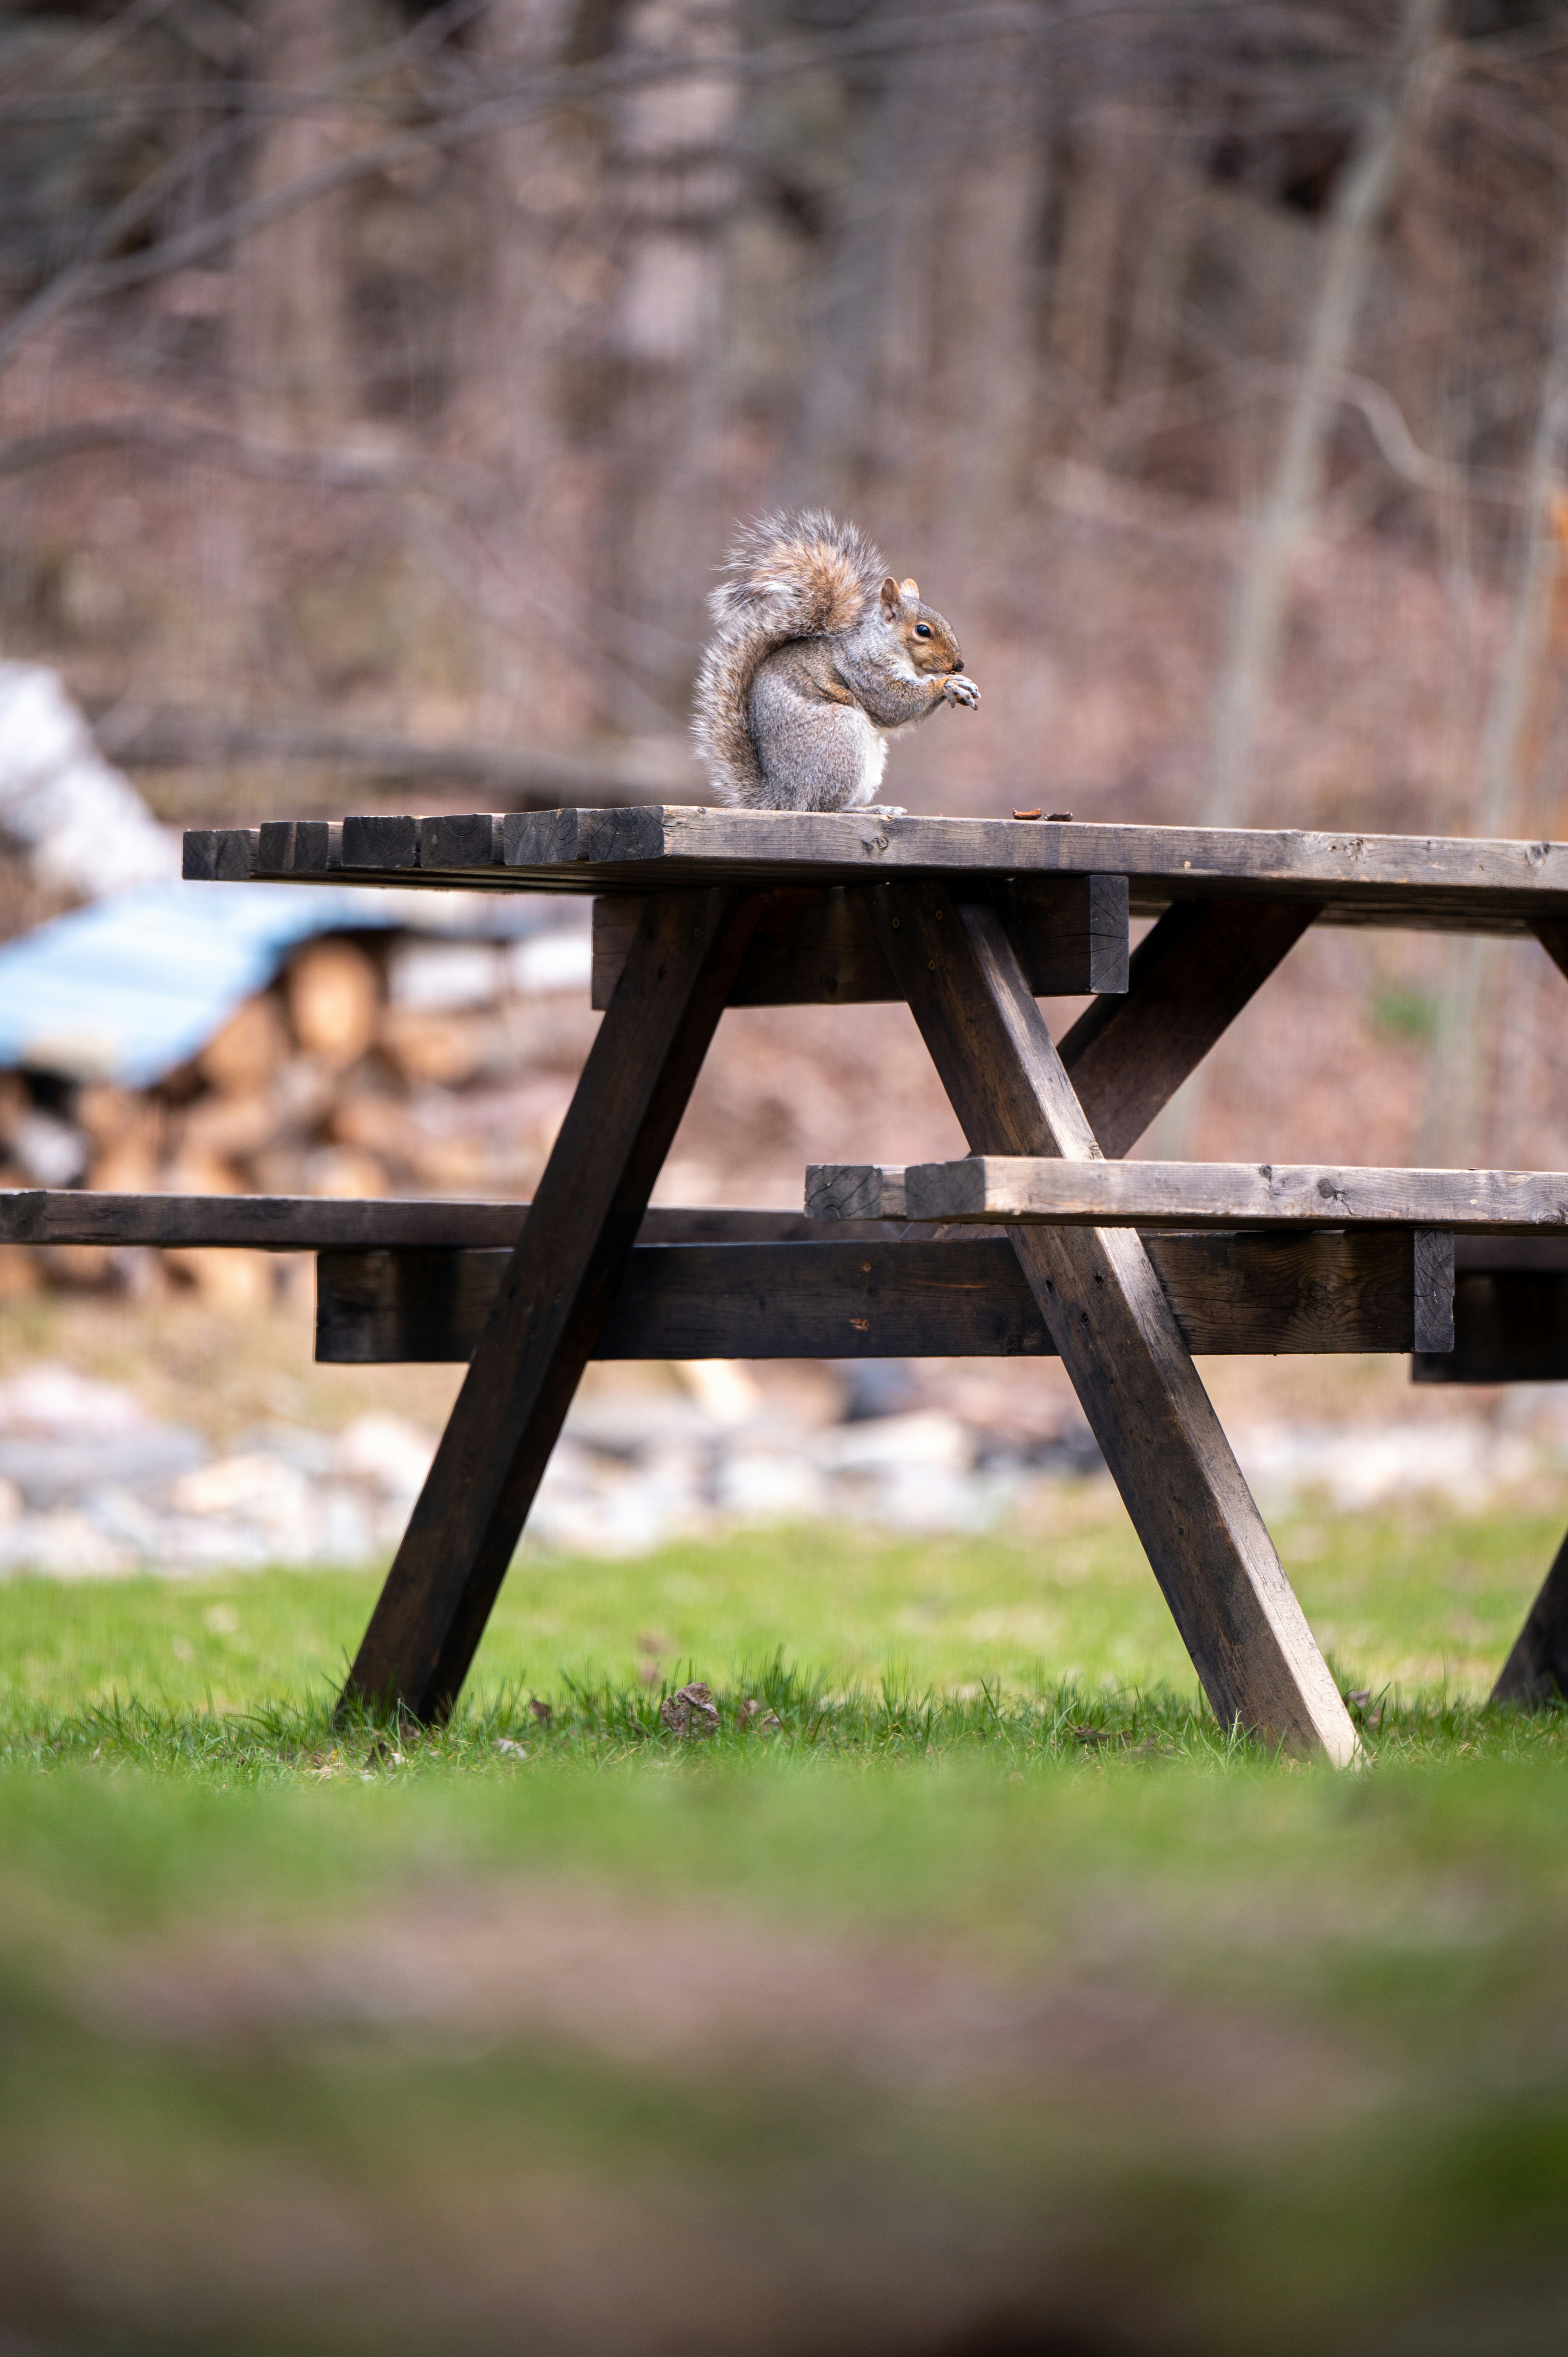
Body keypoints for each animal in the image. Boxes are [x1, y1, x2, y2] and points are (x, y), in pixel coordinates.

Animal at [692, 509, 979, 813]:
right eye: (923, 631)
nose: (959, 665)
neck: (885, 643)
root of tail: (782, 799)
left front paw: (961, 683)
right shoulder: (865, 670)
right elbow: (893, 704)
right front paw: (947, 684)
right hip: (840, 739)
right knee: (824, 807)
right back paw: (872, 810)